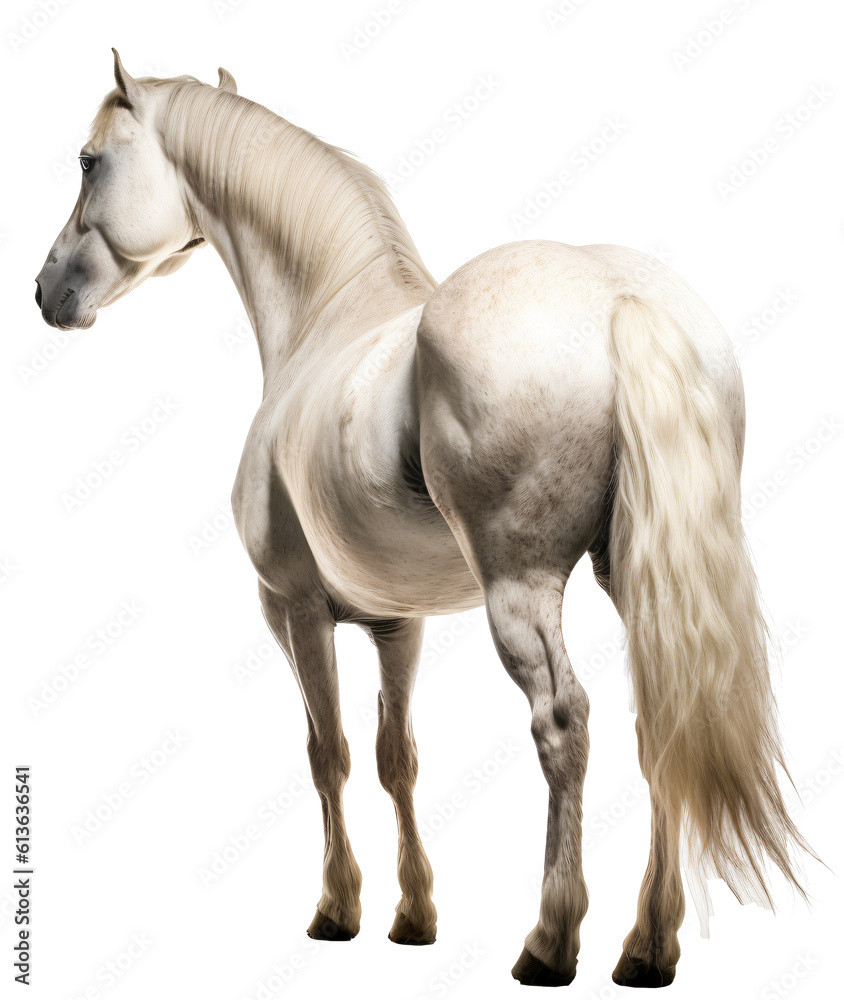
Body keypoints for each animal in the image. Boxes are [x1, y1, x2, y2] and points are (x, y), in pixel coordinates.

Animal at [35, 52, 813, 988]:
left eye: (88, 161)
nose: (46, 292)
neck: (328, 317)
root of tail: (618, 296)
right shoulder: (394, 623)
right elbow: (395, 758)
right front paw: (413, 916)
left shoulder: (293, 608)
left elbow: (327, 753)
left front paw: (339, 910)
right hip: (634, 578)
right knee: (661, 721)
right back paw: (647, 946)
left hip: (520, 590)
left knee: (565, 723)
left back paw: (551, 942)